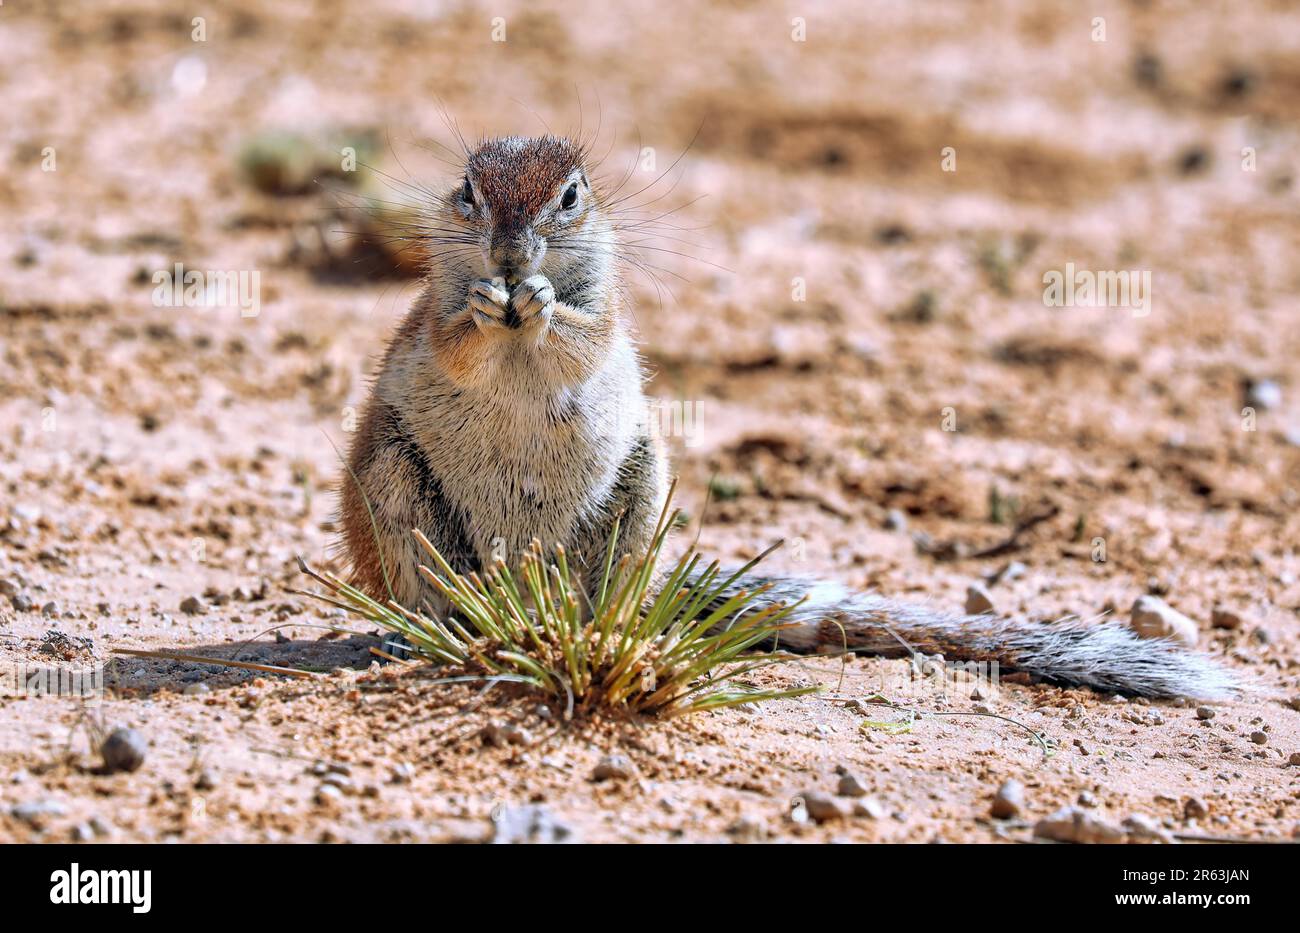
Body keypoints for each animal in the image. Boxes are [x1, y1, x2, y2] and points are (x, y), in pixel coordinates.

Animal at [340, 134, 1237, 701]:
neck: (516, 331)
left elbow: (583, 336)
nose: (509, 253)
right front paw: (488, 305)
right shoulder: (431, 318)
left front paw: (544, 302)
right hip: (398, 490)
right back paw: (426, 635)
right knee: (426, 589)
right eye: (468, 190)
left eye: (571, 195)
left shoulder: (605, 315)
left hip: (639, 488)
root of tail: (525, 597)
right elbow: (456, 339)